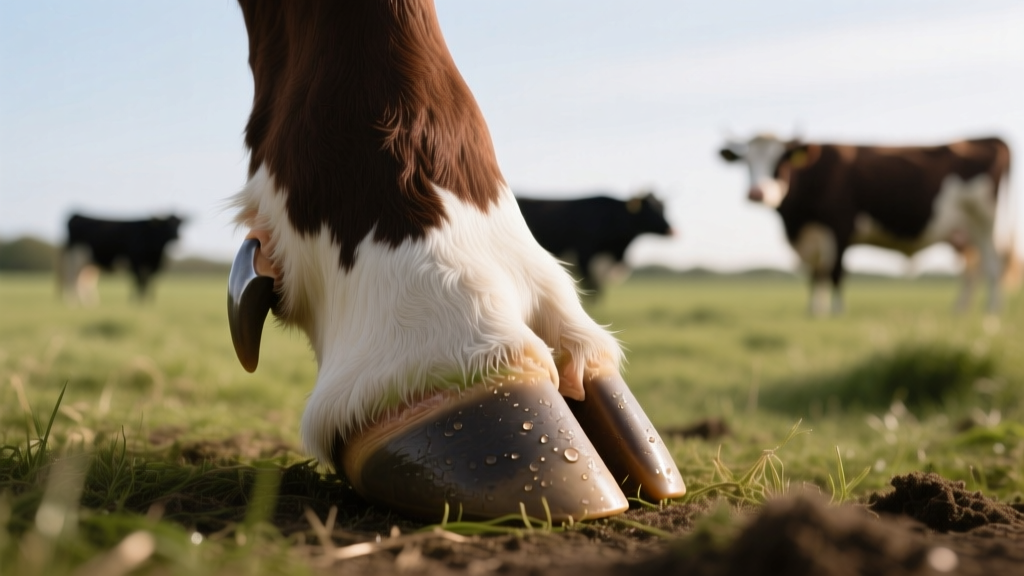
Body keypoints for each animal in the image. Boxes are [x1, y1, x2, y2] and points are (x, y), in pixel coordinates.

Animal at [719, 134, 1012, 315]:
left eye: (780, 161)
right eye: (746, 162)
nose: (757, 193)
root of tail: (992, 139)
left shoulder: (839, 227)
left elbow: (835, 272)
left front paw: (837, 313)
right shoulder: (812, 237)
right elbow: (816, 275)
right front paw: (814, 312)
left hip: (984, 221)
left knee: (993, 265)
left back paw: (991, 313)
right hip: (965, 232)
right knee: (972, 271)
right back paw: (961, 311)